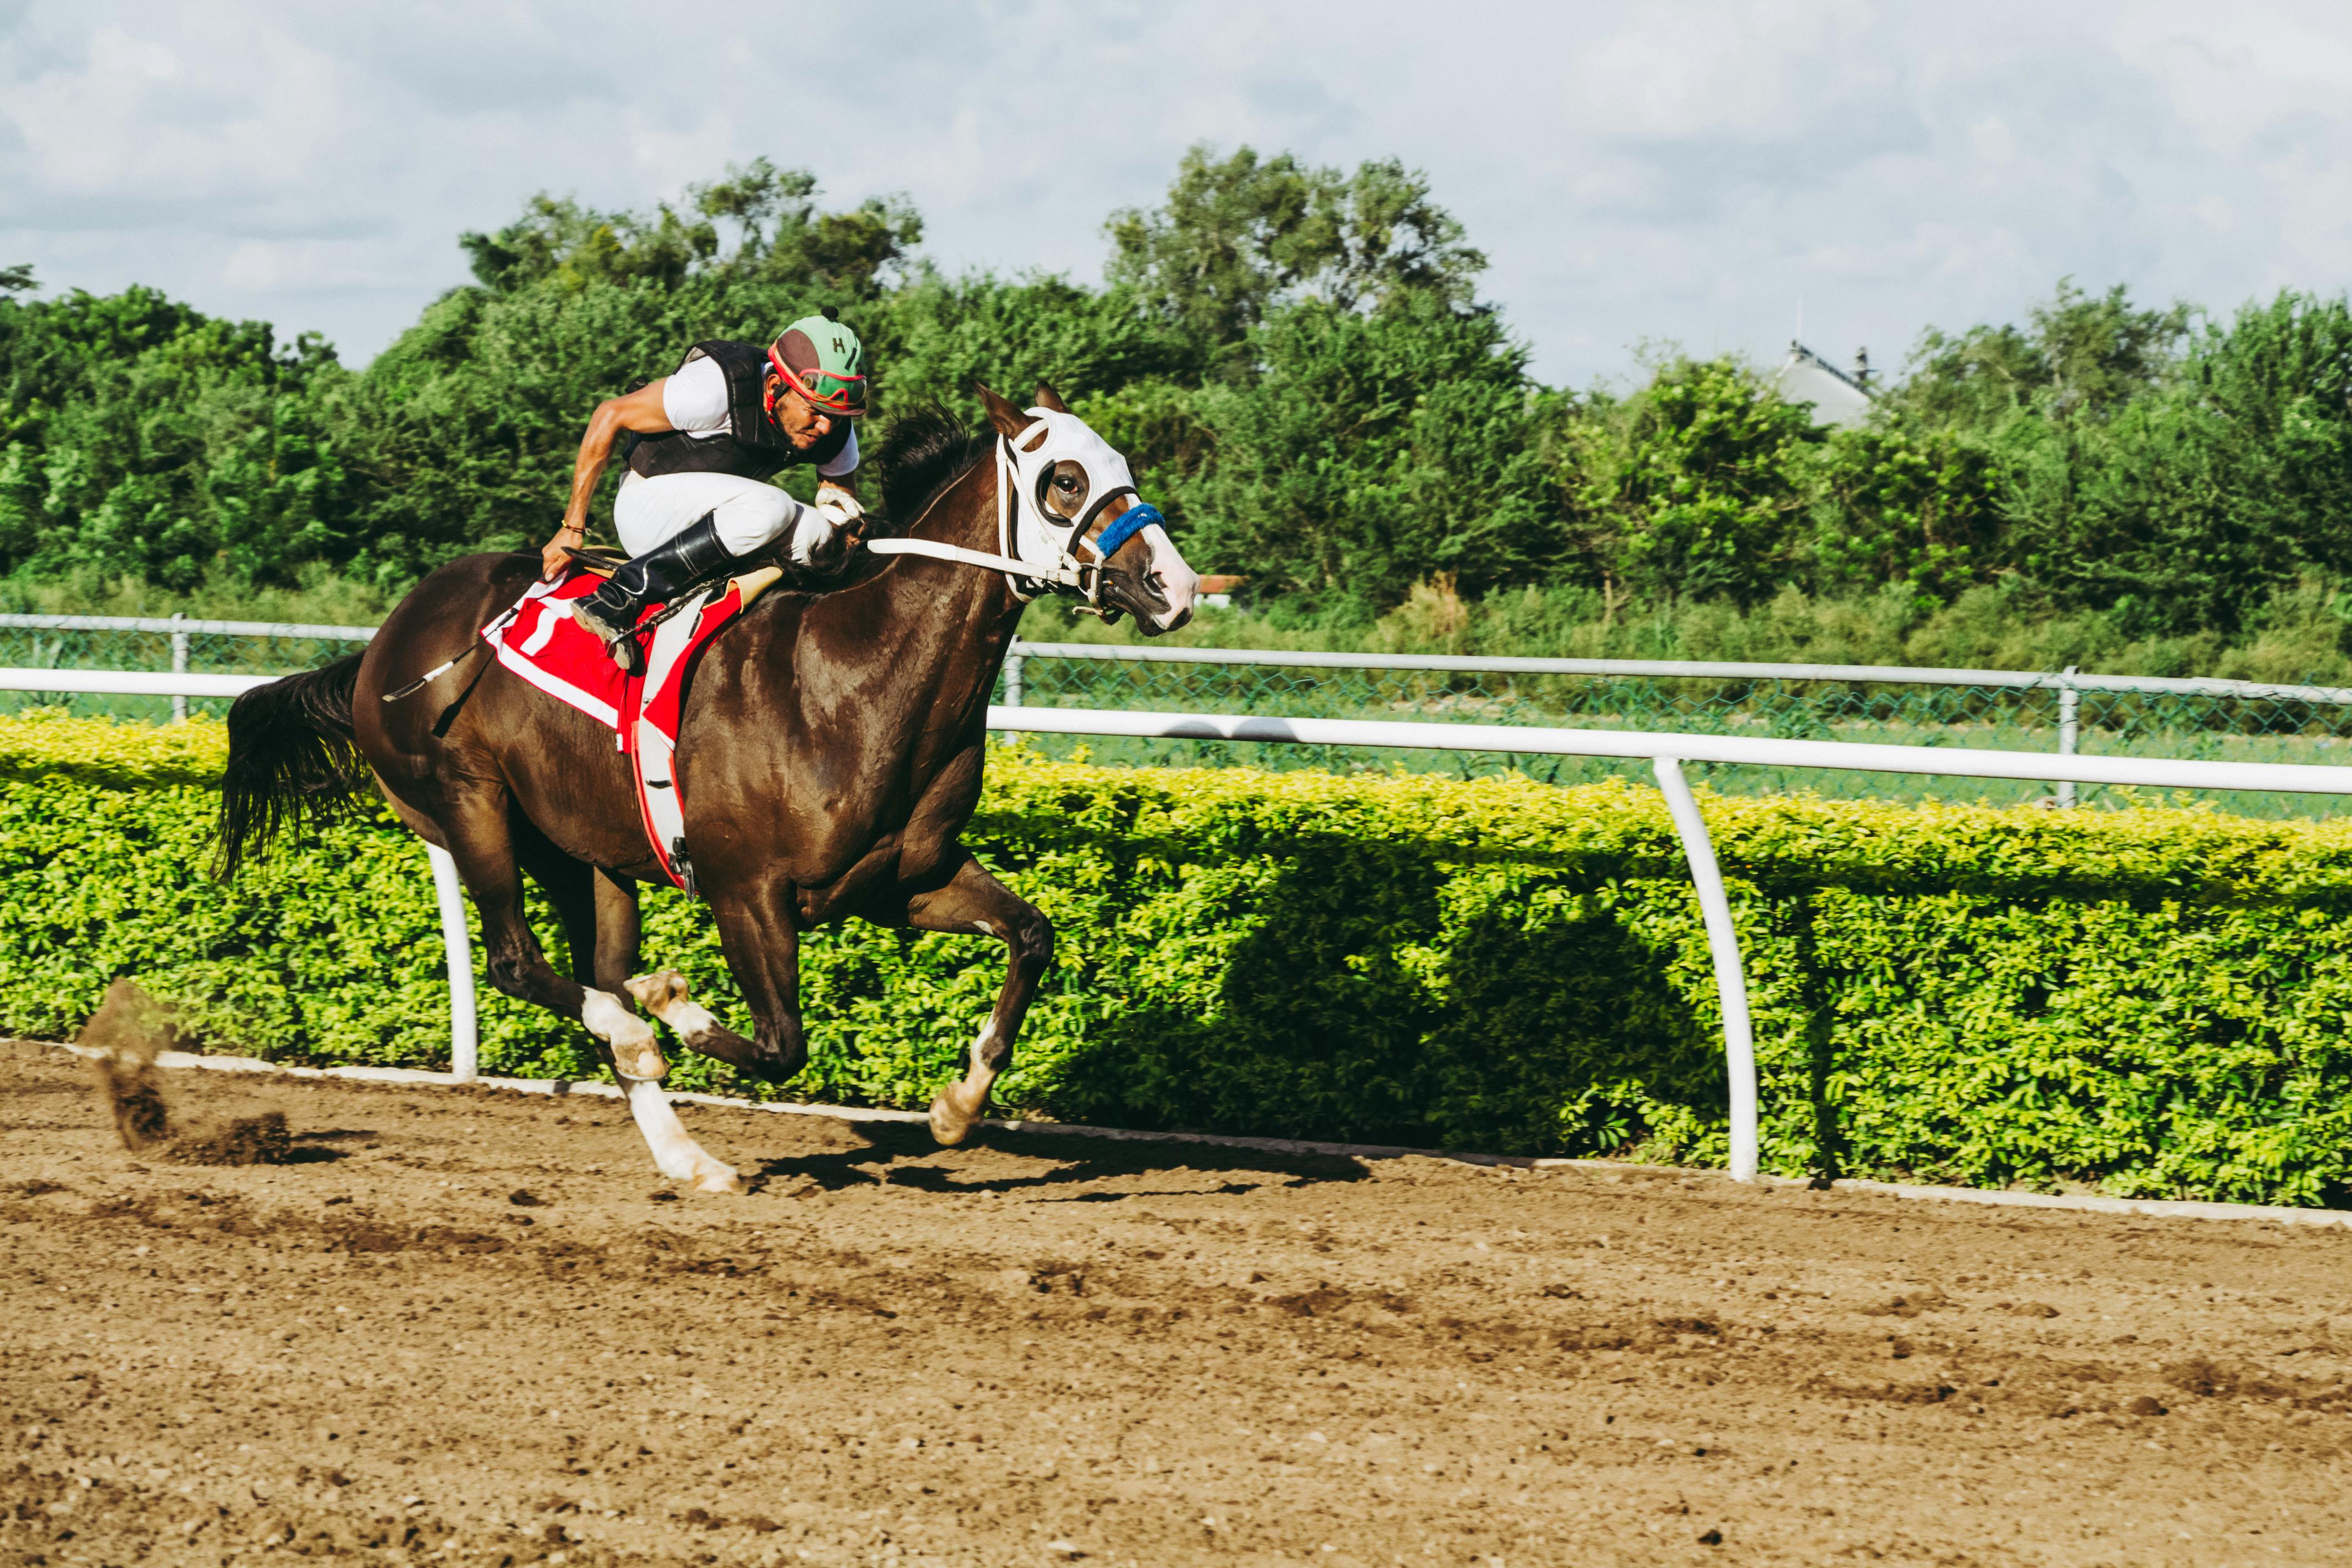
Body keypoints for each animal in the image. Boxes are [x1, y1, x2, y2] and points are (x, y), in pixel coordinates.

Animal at [215, 385, 1199, 1192]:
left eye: (1122, 467)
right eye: (1063, 479)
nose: (1175, 585)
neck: (851, 674)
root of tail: (383, 644)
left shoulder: (903, 879)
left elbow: (1031, 937)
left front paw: (957, 1106)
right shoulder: (744, 889)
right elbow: (779, 1045)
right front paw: (673, 1006)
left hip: (583, 854)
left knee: (595, 970)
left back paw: (687, 1155)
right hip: (468, 805)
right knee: (519, 964)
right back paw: (637, 1030)